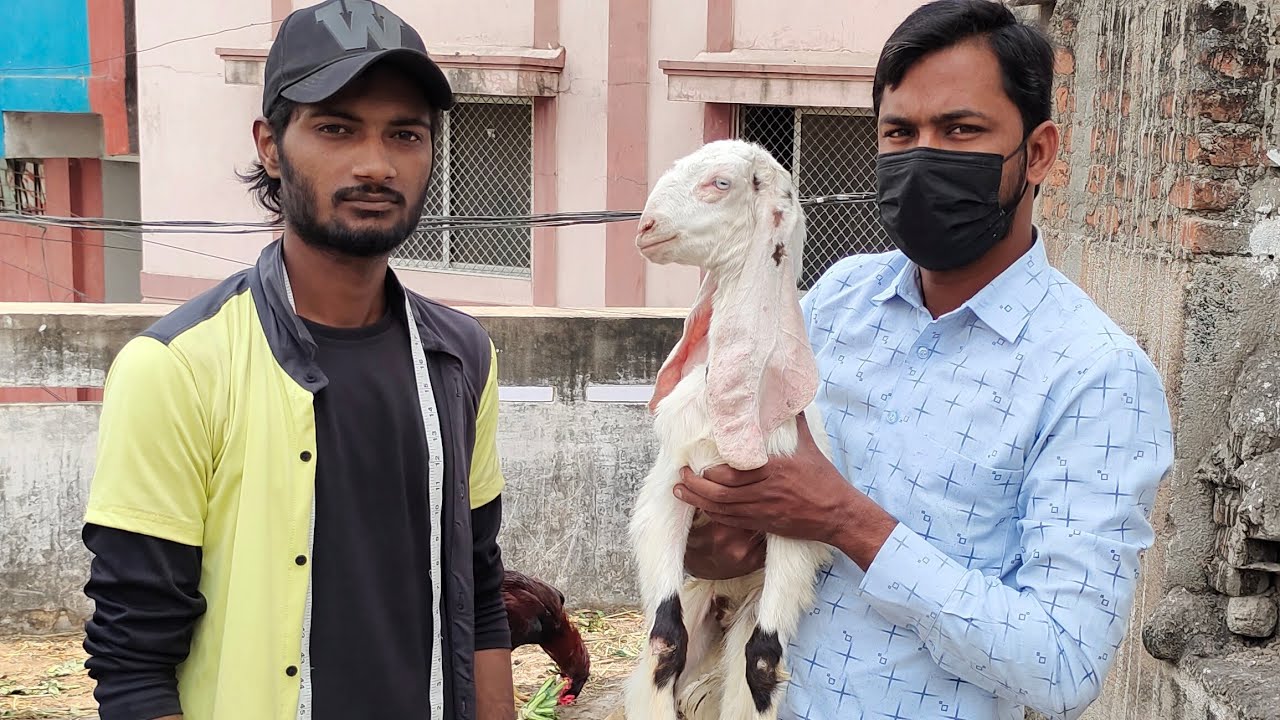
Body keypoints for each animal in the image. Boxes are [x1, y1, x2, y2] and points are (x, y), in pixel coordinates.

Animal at [623, 139, 835, 720]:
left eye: (720, 183)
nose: (646, 228)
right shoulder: (672, 485)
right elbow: (664, 642)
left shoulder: (794, 514)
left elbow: (762, 661)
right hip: (702, 592)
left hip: (747, 605)